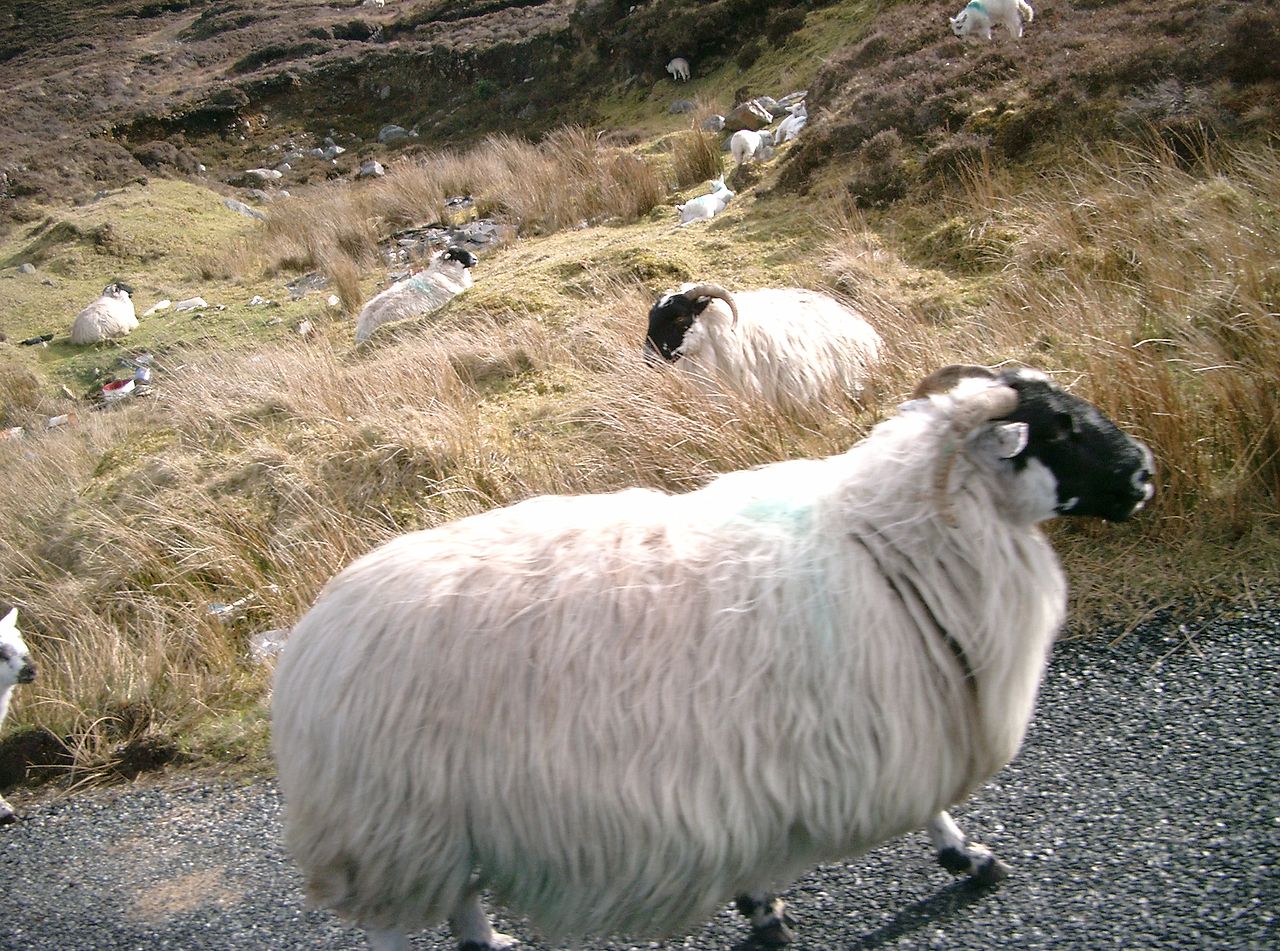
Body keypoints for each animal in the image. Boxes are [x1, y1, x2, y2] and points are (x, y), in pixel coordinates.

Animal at [272, 363, 1155, 951]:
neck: (890, 542)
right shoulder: (867, 721)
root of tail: (311, 636)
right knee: (403, 924)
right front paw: (964, 857)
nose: (1146, 472)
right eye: (1060, 429)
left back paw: (490, 941)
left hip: (437, 827)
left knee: (460, 900)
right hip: (390, 827)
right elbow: (922, 803)